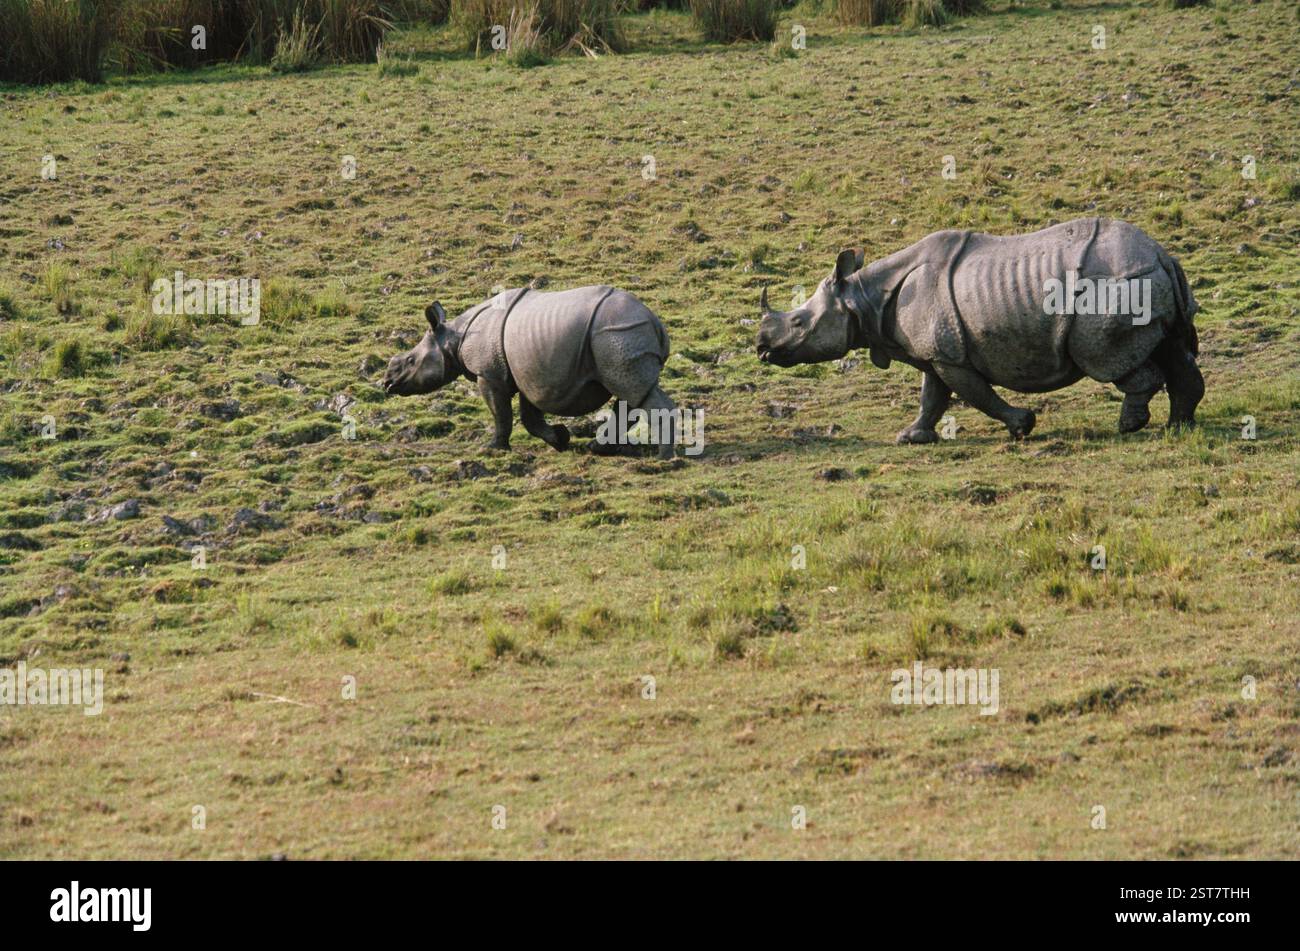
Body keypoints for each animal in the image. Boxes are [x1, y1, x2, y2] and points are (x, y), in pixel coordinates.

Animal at [382, 285, 678, 459]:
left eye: (410, 361)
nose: (386, 382)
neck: (452, 338)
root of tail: (655, 321)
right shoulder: (527, 372)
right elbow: (529, 417)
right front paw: (560, 439)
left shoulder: (489, 374)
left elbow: (501, 413)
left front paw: (492, 449)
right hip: (621, 336)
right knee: (631, 392)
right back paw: (601, 450)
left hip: (618, 332)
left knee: (631, 391)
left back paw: (664, 458)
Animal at [755, 218, 1203, 442]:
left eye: (798, 323)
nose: (761, 347)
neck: (863, 298)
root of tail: (1162, 255)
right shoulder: (936, 353)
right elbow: (932, 397)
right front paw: (911, 437)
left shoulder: (948, 355)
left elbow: (975, 394)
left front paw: (1022, 426)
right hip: (1144, 280)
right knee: (1170, 349)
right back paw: (1178, 427)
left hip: (1114, 285)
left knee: (1106, 359)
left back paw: (1129, 427)